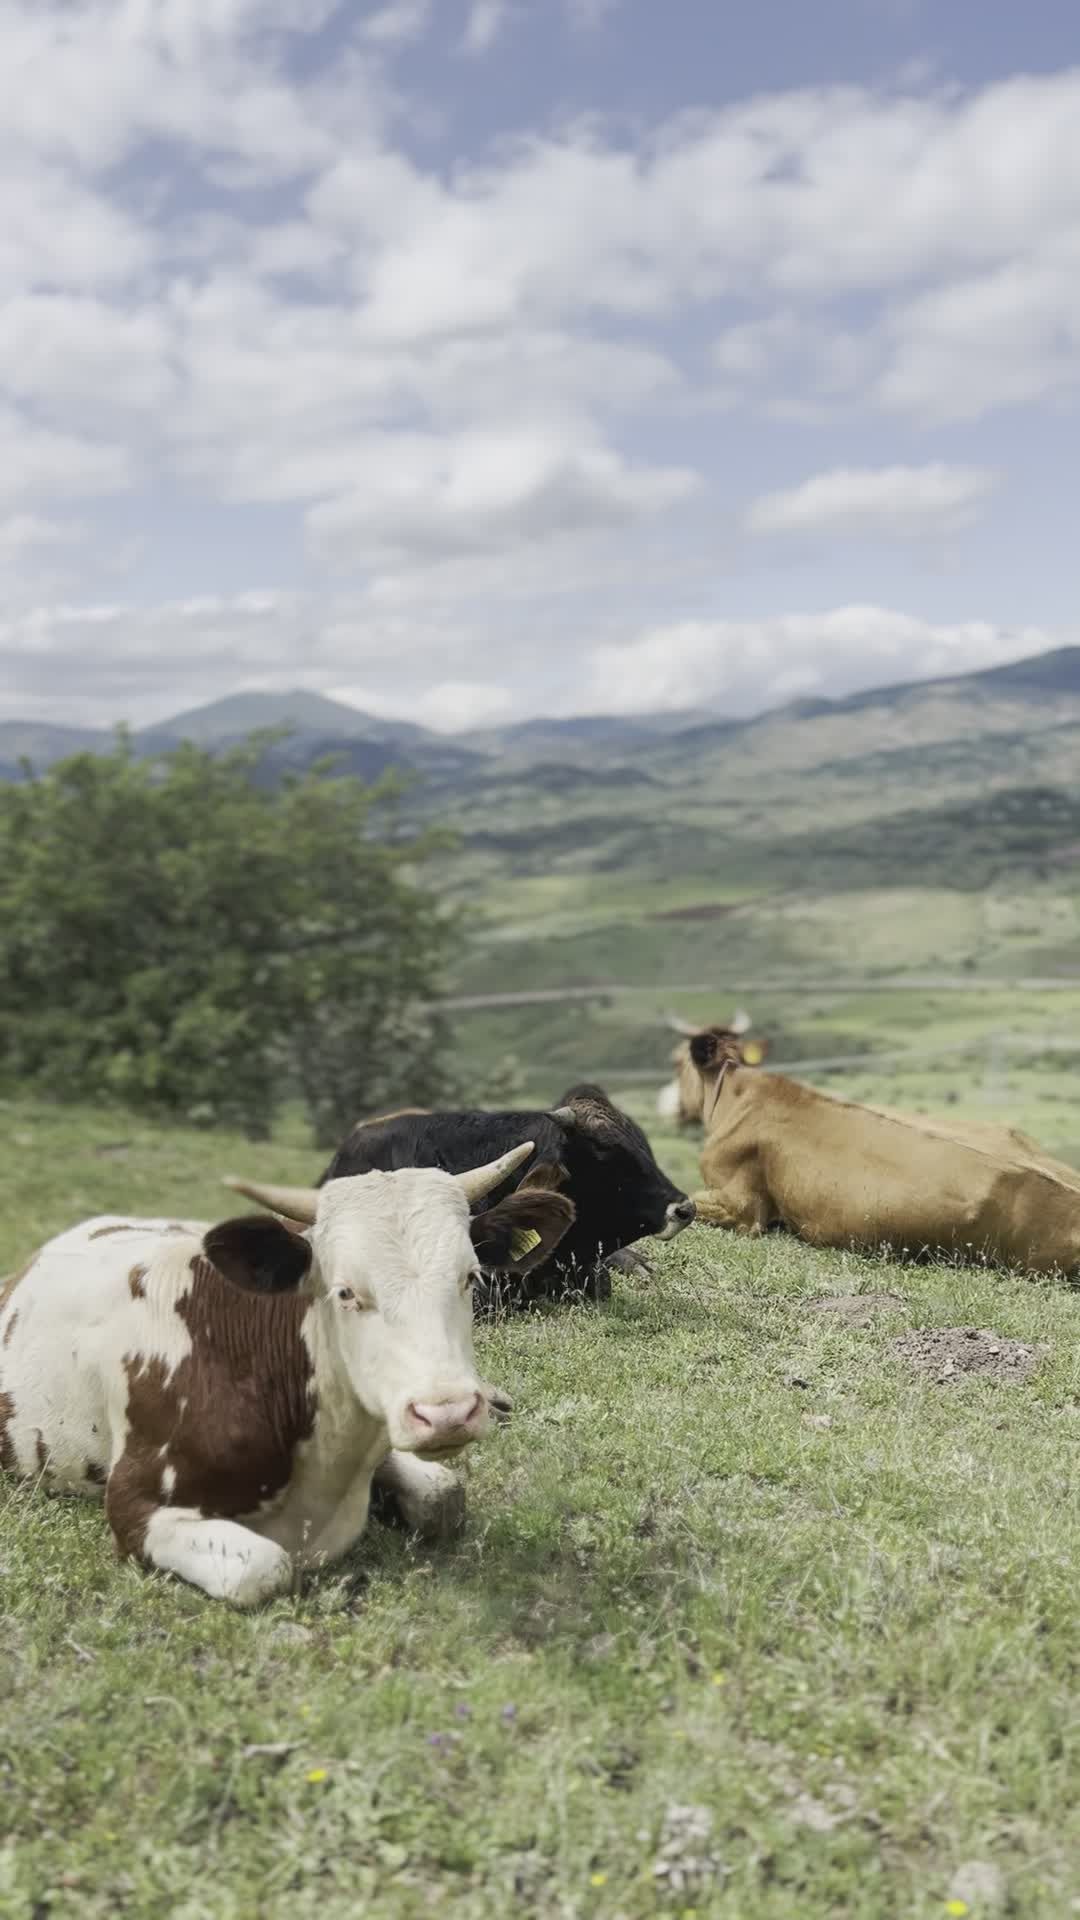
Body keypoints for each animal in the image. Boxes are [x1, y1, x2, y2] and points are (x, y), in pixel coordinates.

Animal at [0, 1143, 574, 1606]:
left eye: (470, 1277)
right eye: (345, 1292)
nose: (448, 1413)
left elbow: (443, 1498)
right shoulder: (134, 1502)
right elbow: (265, 1568)